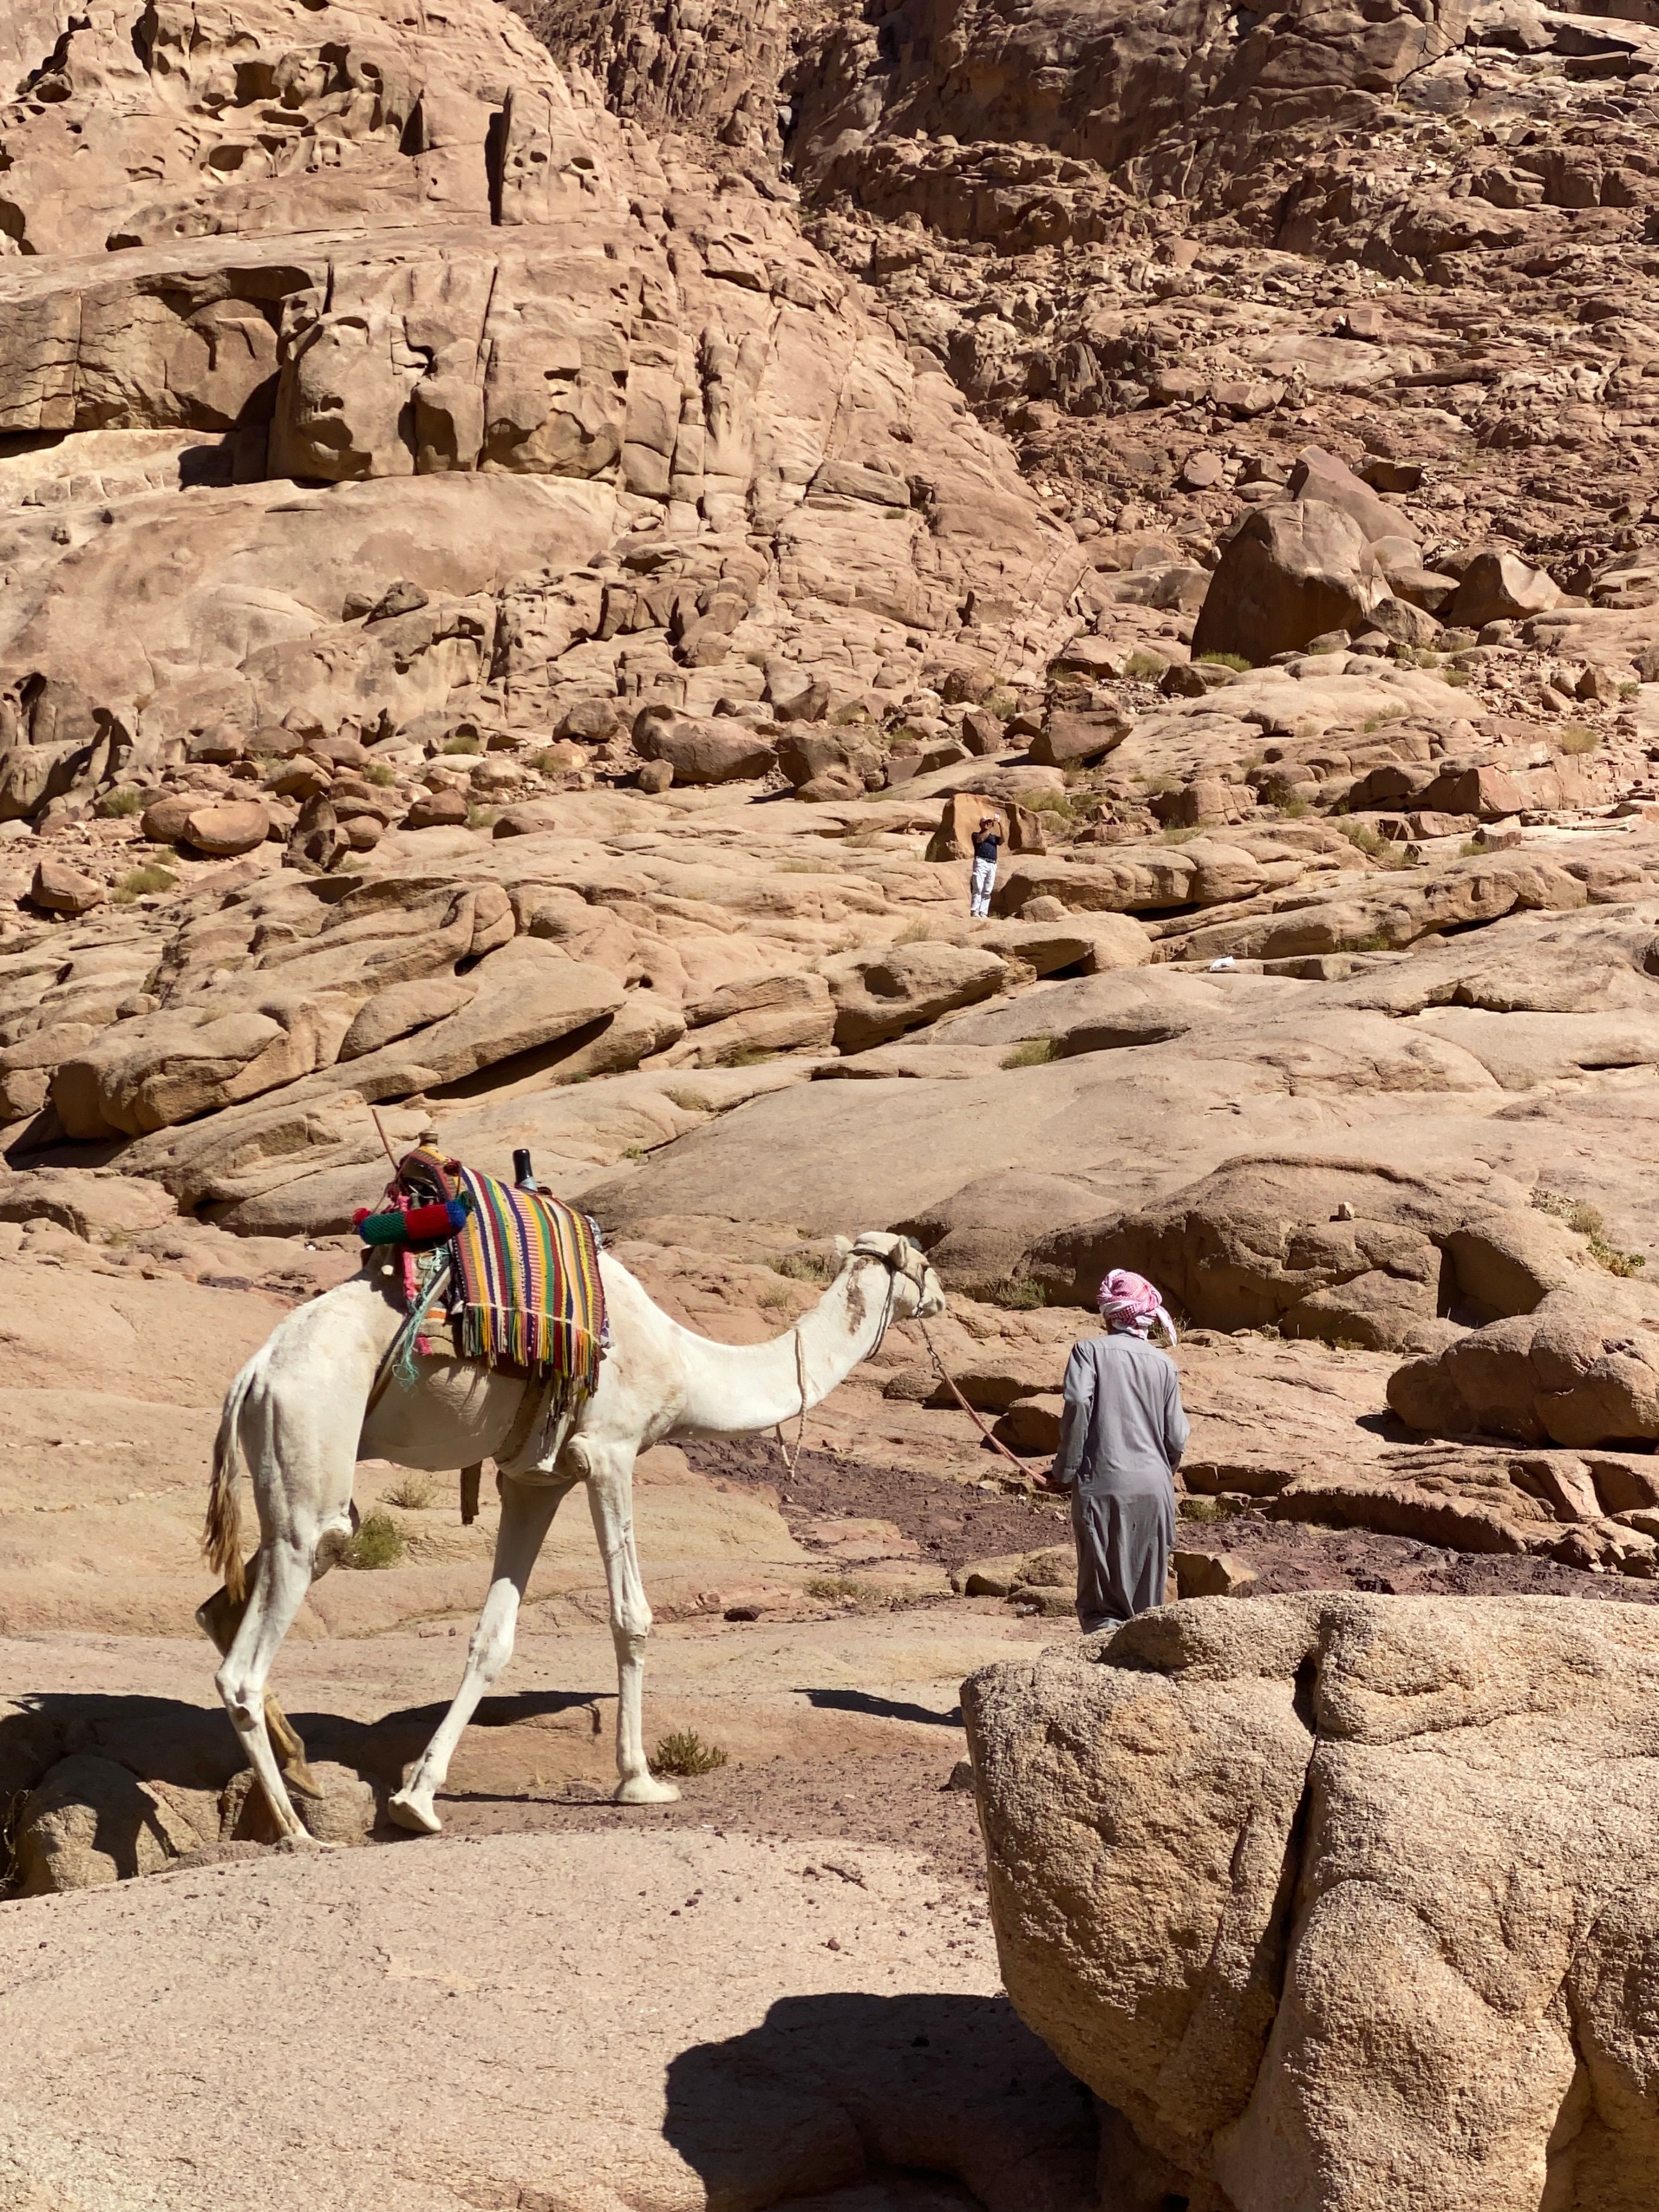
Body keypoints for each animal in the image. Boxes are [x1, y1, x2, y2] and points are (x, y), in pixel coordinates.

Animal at [199, 1228, 945, 1842]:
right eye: (922, 1262)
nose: (941, 1298)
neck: (686, 1364)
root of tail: (252, 1374)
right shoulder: (609, 1451)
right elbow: (631, 1616)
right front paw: (640, 1782)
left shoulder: (536, 1481)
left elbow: (493, 1639)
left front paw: (417, 1800)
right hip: (310, 1429)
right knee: (250, 1652)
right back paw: (297, 1830)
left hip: (291, 1464)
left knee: (225, 1604)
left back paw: (301, 1771)